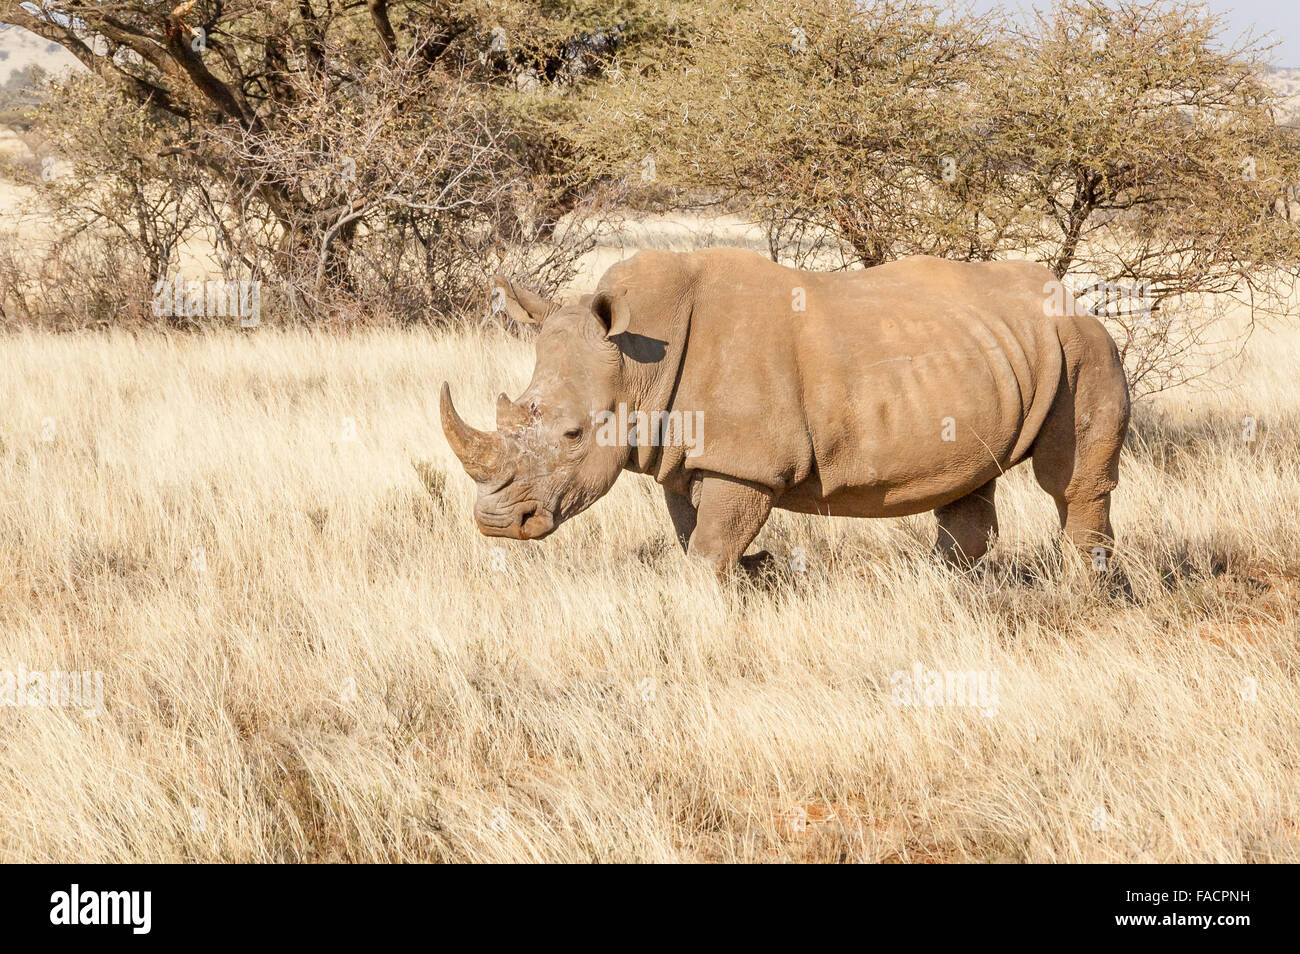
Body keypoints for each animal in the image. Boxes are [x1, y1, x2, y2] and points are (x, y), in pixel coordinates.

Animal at [441, 248, 1130, 577]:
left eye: (573, 434)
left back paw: (1083, 594)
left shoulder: (743, 463)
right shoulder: (681, 453)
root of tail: (1073, 298)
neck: (637, 361)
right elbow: (695, 534)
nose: (496, 522)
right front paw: (755, 572)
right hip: (992, 352)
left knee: (1071, 484)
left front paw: (721, 593)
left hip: (1083, 347)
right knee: (966, 483)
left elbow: (710, 545)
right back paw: (943, 589)